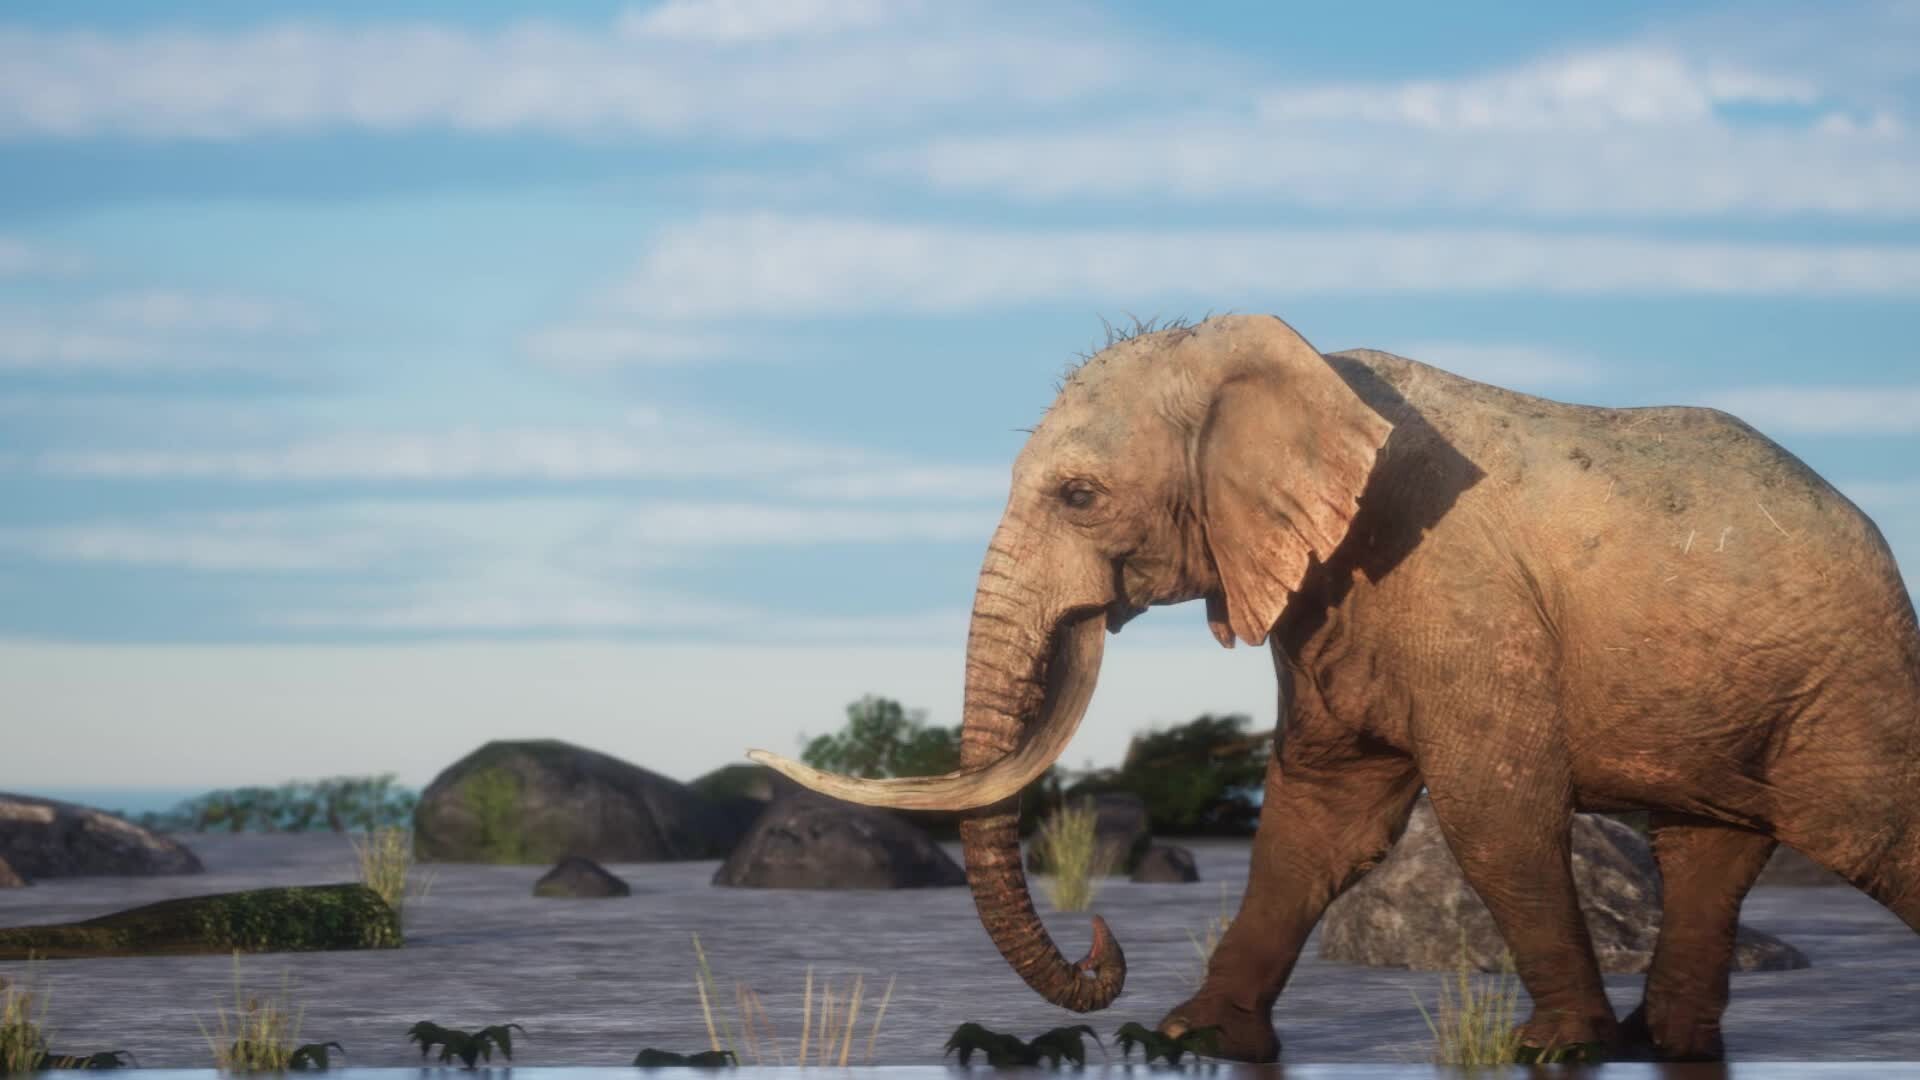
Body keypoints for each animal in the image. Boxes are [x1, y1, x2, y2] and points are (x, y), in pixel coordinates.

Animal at [750, 314, 1920, 1062]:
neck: (1288, 365)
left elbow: (1495, 813)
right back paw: (1664, 1042)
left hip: (1848, 681)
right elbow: (1318, 818)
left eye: (1079, 496)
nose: (1103, 944)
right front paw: (1187, 1036)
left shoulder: (1463, 589)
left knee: (1874, 834)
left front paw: (1553, 1049)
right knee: (1708, 852)